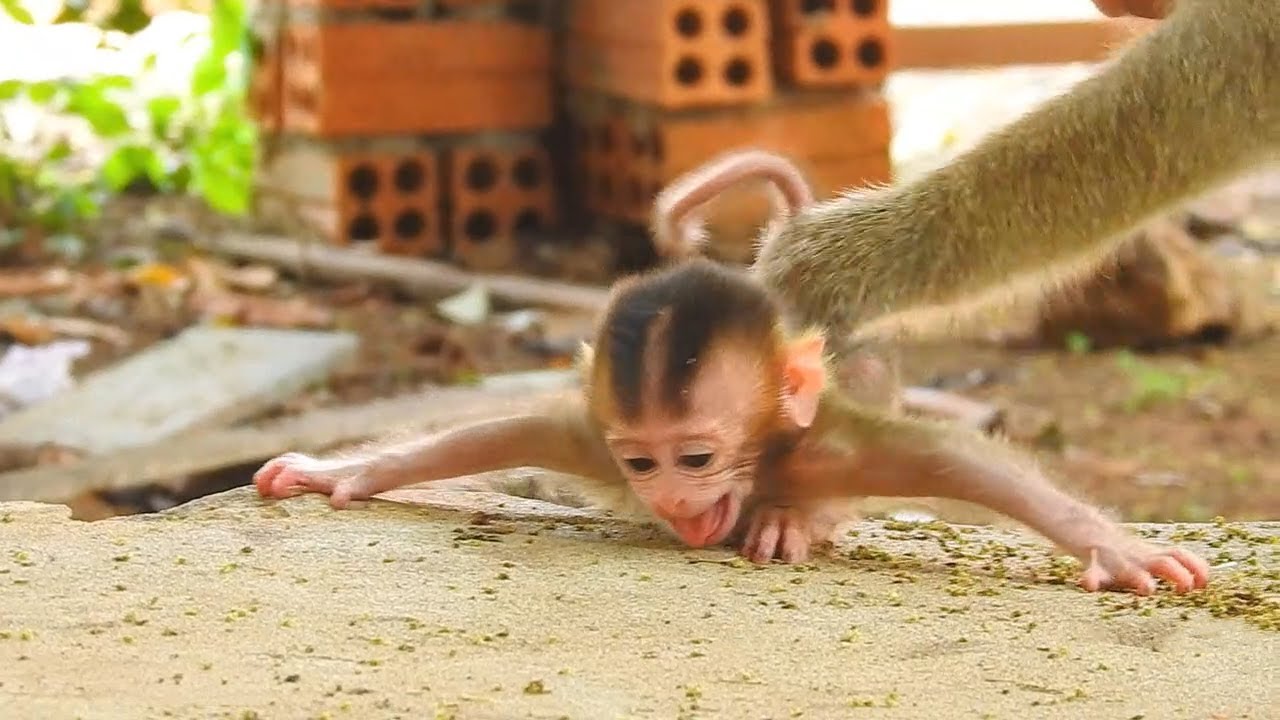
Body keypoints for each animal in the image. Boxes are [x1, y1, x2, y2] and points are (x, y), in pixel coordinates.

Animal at [255, 257, 1209, 596]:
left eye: (697, 457)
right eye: (644, 465)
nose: (673, 497)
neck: (759, 465)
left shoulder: (837, 449)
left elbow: (956, 461)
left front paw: (1117, 549)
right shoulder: (592, 437)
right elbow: (496, 432)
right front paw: (337, 471)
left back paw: (789, 523)